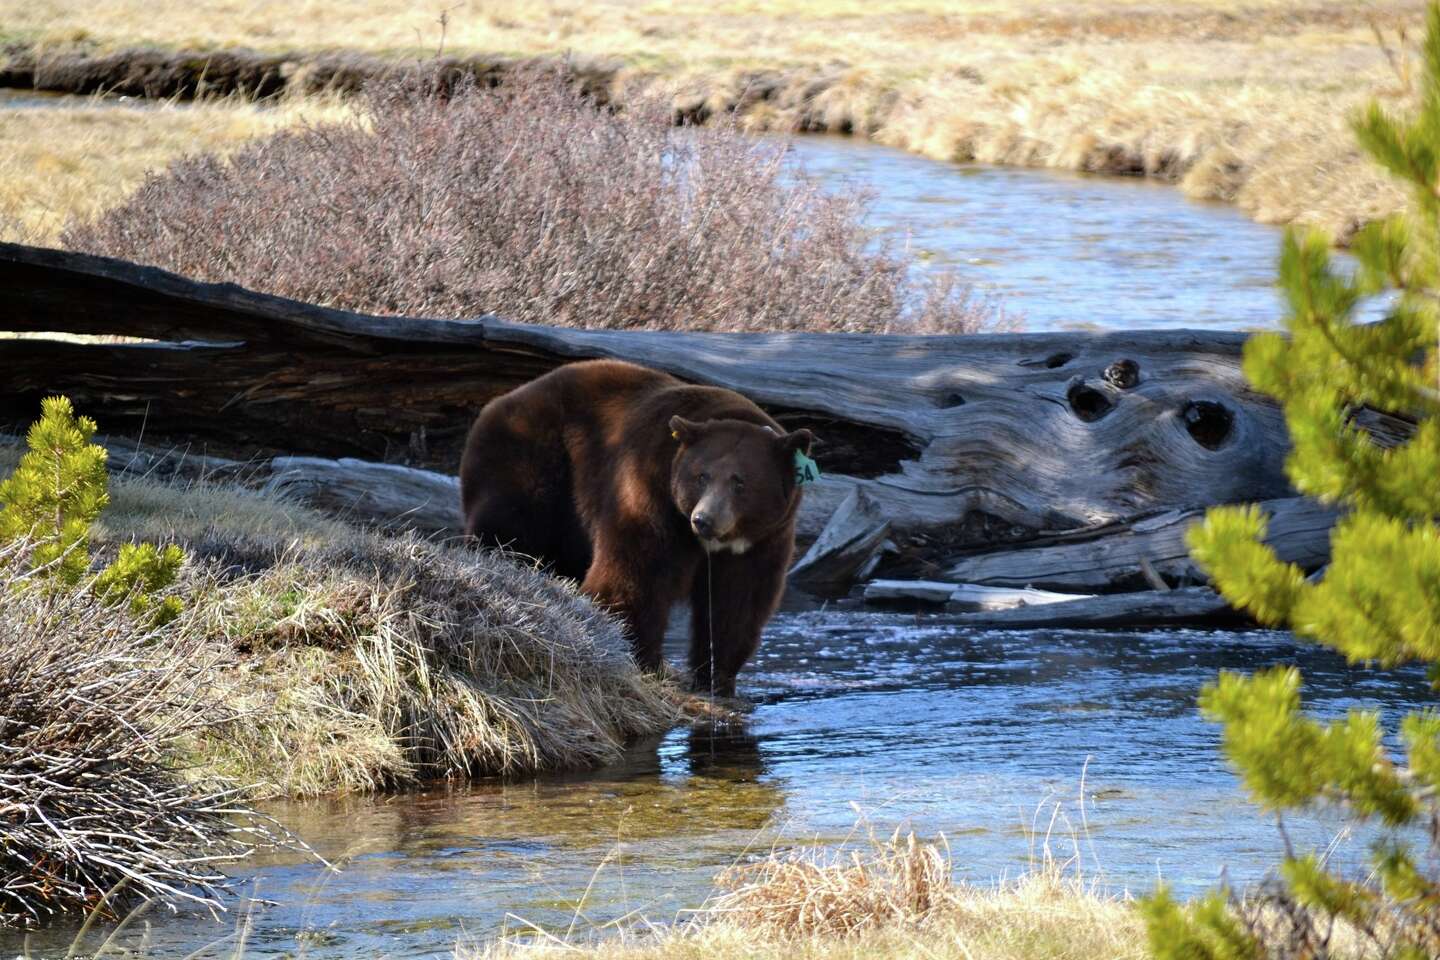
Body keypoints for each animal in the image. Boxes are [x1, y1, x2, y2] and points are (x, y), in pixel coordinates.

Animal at [459, 359, 814, 697]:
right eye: (702, 476)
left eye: (740, 482)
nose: (704, 519)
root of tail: (497, 402)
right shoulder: (648, 492)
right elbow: (637, 573)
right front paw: (641, 658)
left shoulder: (764, 540)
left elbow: (737, 603)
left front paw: (717, 678)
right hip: (535, 462)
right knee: (512, 523)